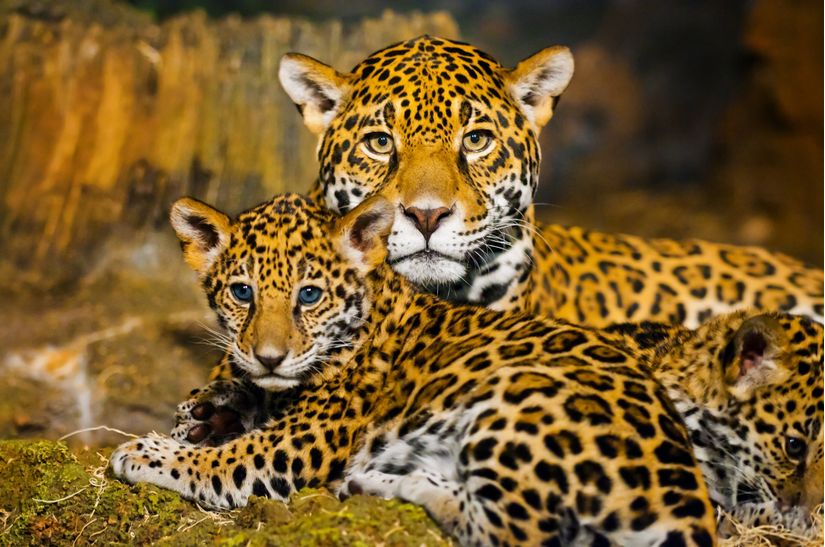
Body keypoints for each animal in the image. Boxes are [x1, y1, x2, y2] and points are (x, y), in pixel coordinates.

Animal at [112, 194, 718, 546]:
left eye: (309, 295)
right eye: (242, 293)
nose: (269, 356)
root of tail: (683, 490)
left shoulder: (299, 444)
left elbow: (223, 462)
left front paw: (146, 452)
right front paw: (210, 410)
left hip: (513, 408)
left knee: (506, 531)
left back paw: (379, 480)